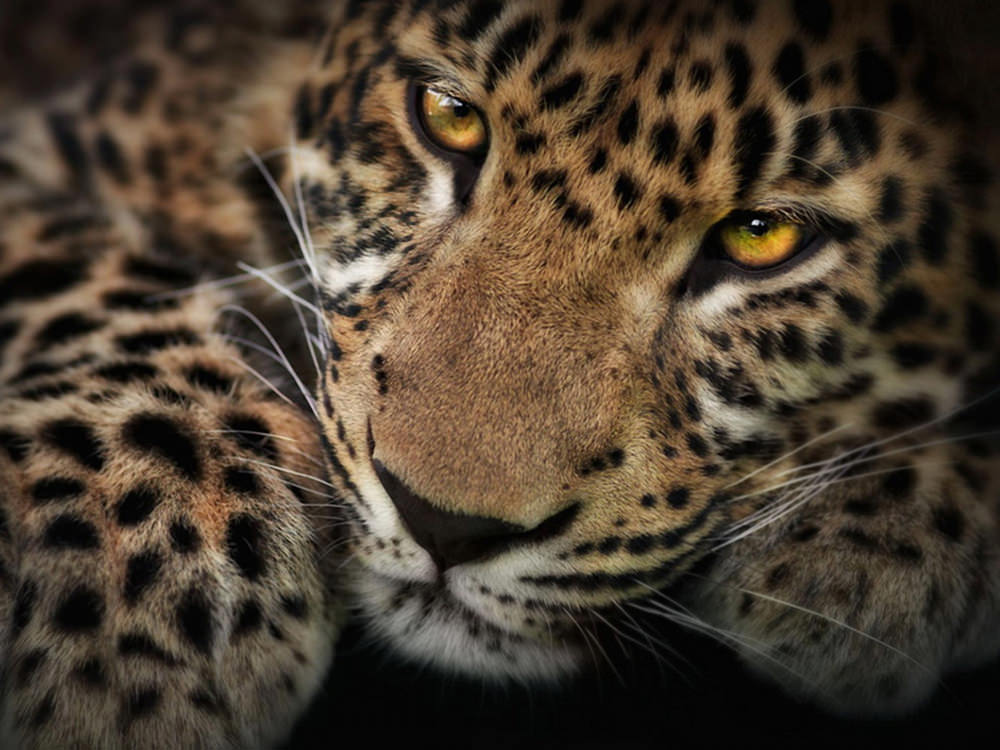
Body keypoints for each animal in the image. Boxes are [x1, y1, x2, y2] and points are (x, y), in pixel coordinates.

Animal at [1, 0, 999, 746]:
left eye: (764, 236)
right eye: (447, 114)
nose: (446, 527)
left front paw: (876, 546)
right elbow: (83, 279)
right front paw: (128, 620)